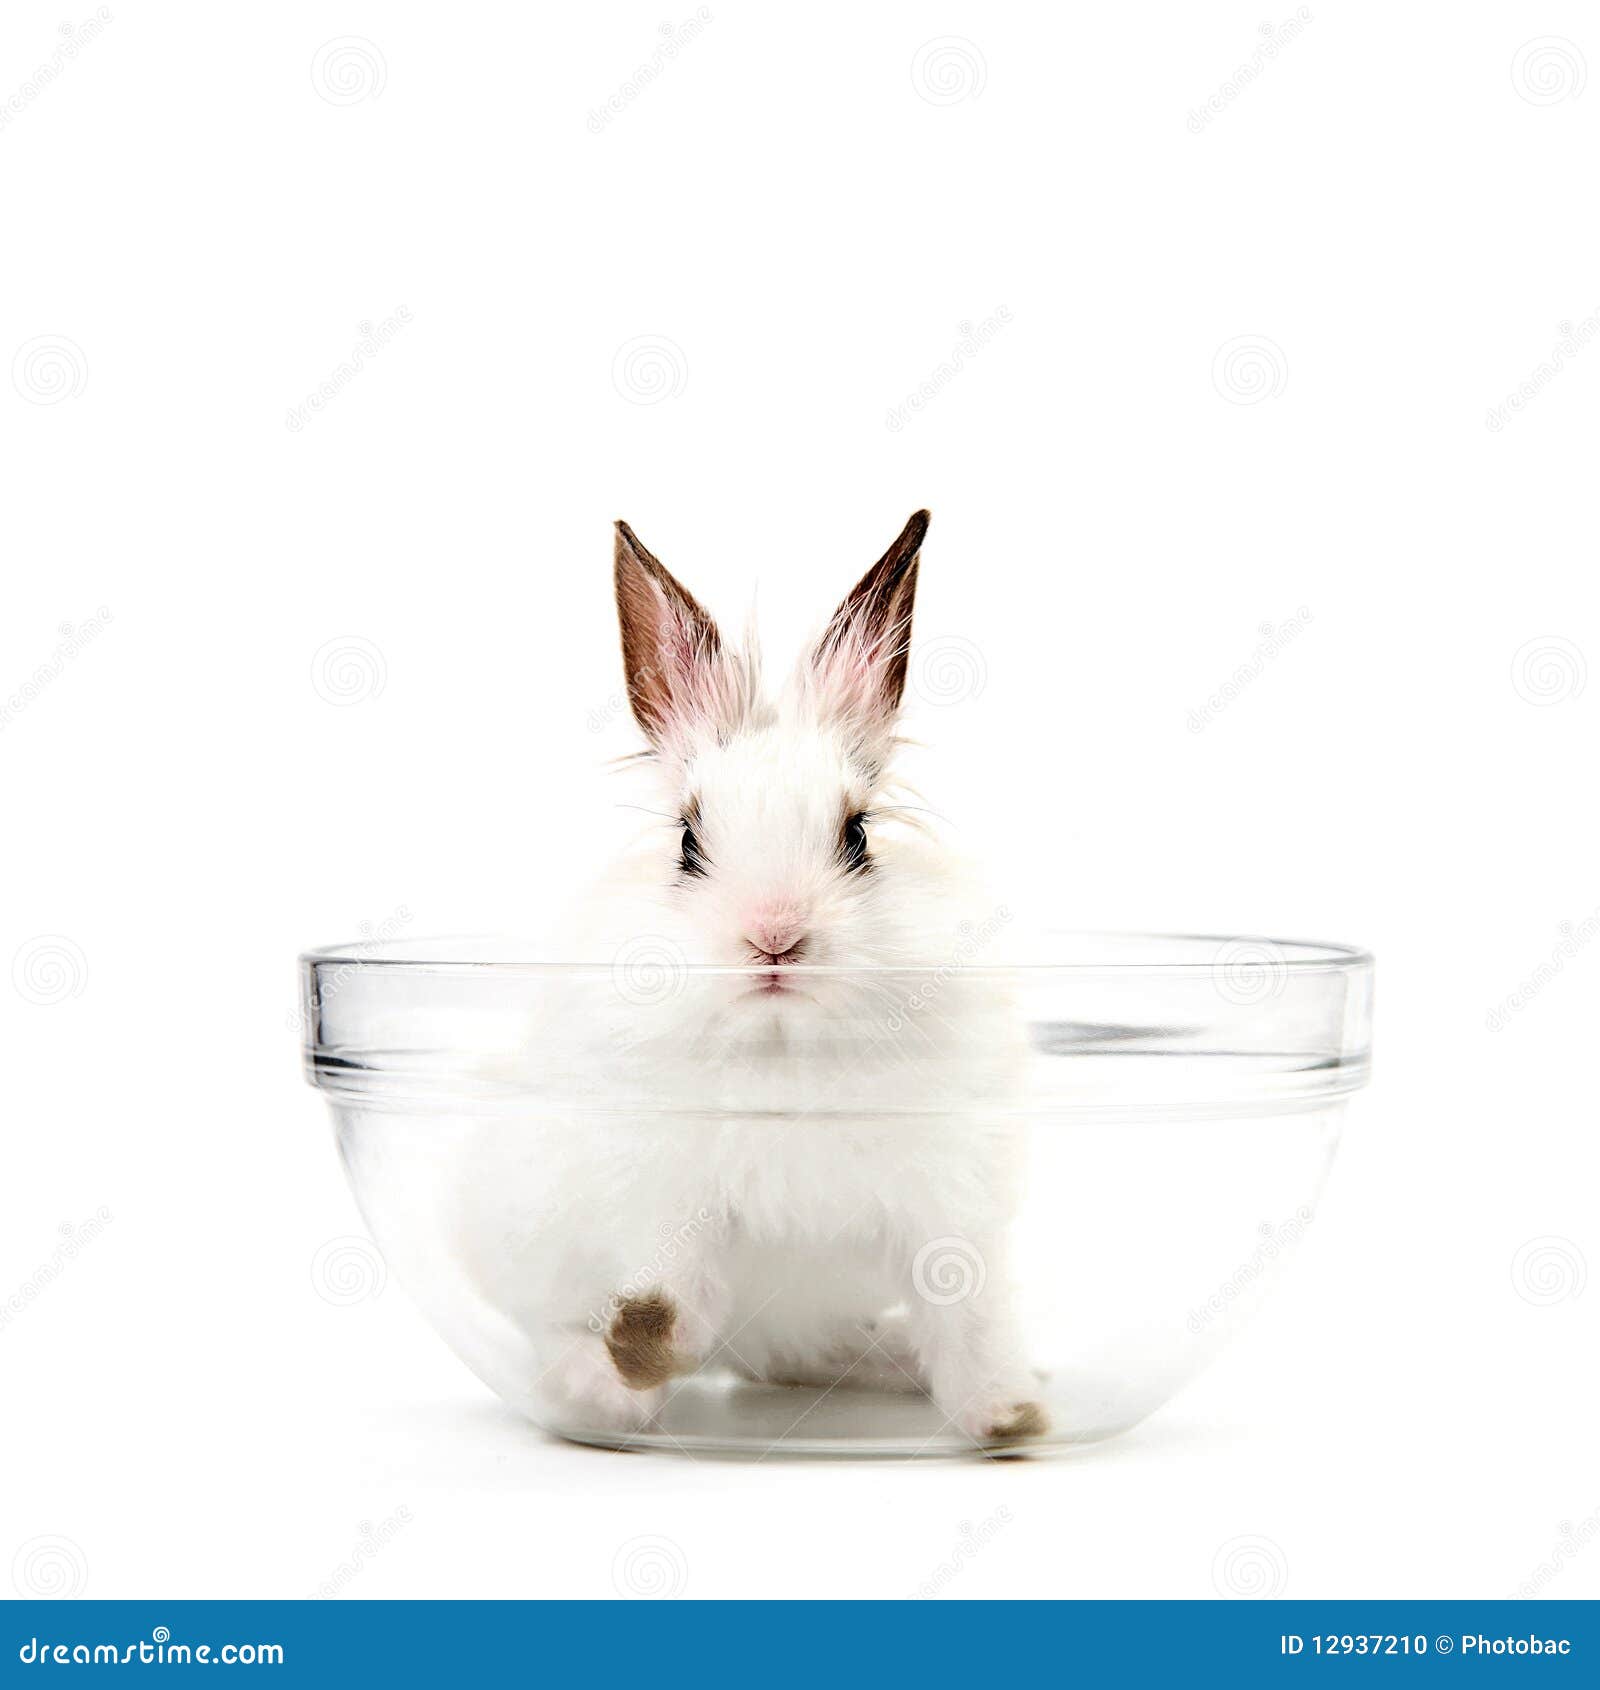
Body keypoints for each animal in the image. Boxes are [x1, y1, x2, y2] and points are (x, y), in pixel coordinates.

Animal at [455, 511, 1047, 1446]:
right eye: (687, 842)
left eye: (858, 836)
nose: (773, 936)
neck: (783, 1049)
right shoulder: (665, 1206)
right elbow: (679, 1300)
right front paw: (635, 1353)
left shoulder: (949, 1211)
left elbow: (967, 1321)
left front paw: (1007, 1418)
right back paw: (595, 1391)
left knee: (794, 1353)